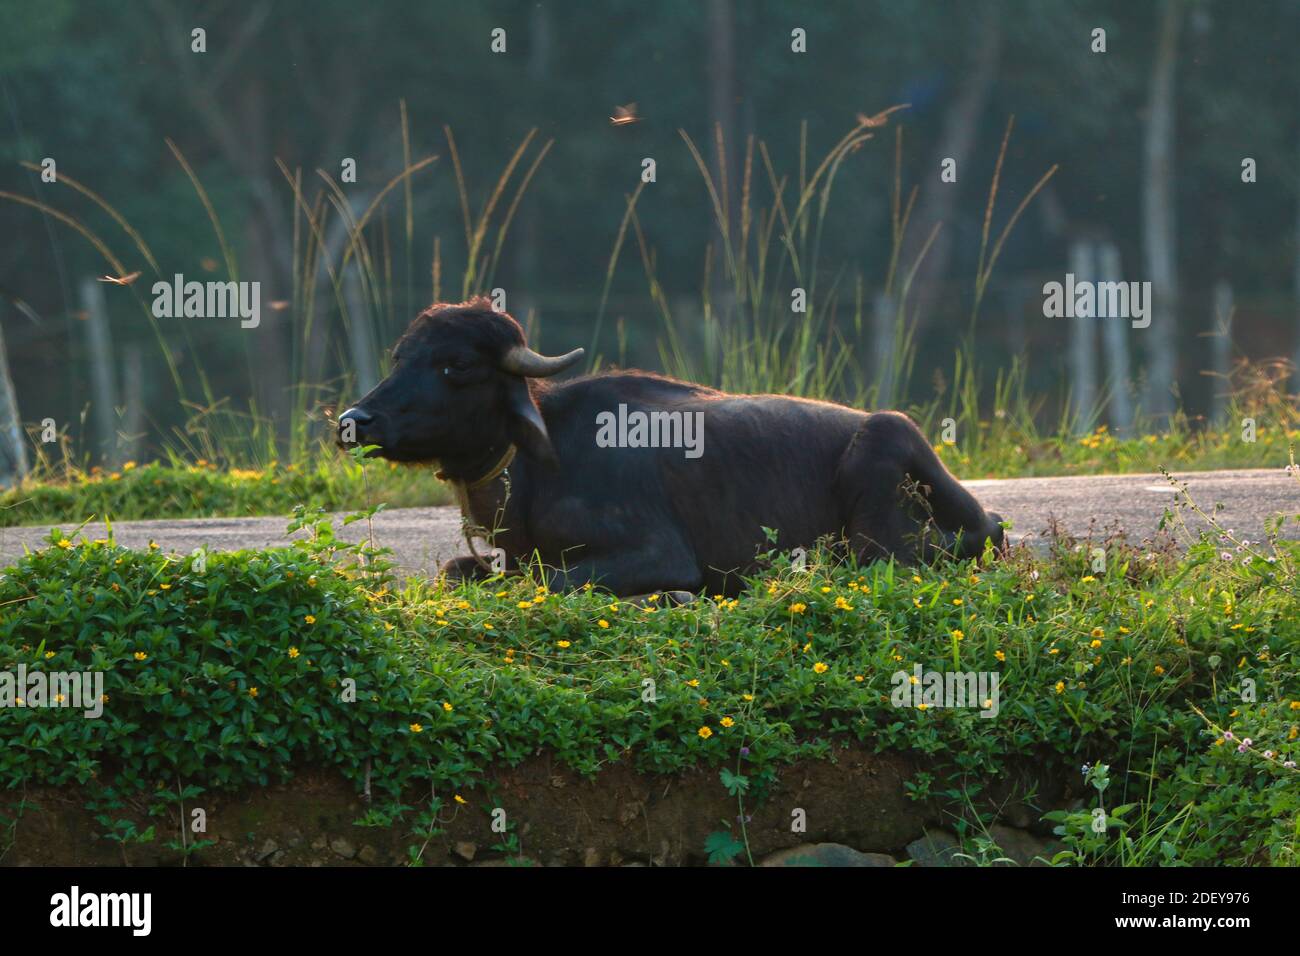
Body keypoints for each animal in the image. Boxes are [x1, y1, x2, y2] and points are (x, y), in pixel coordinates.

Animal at [338, 298, 1005, 597]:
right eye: (400, 357)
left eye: (455, 365)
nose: (354, 420)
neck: (536, 468)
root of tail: (989, 519)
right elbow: (455, 571)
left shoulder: (658, 551)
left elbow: (552, 581)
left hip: (883, 478)